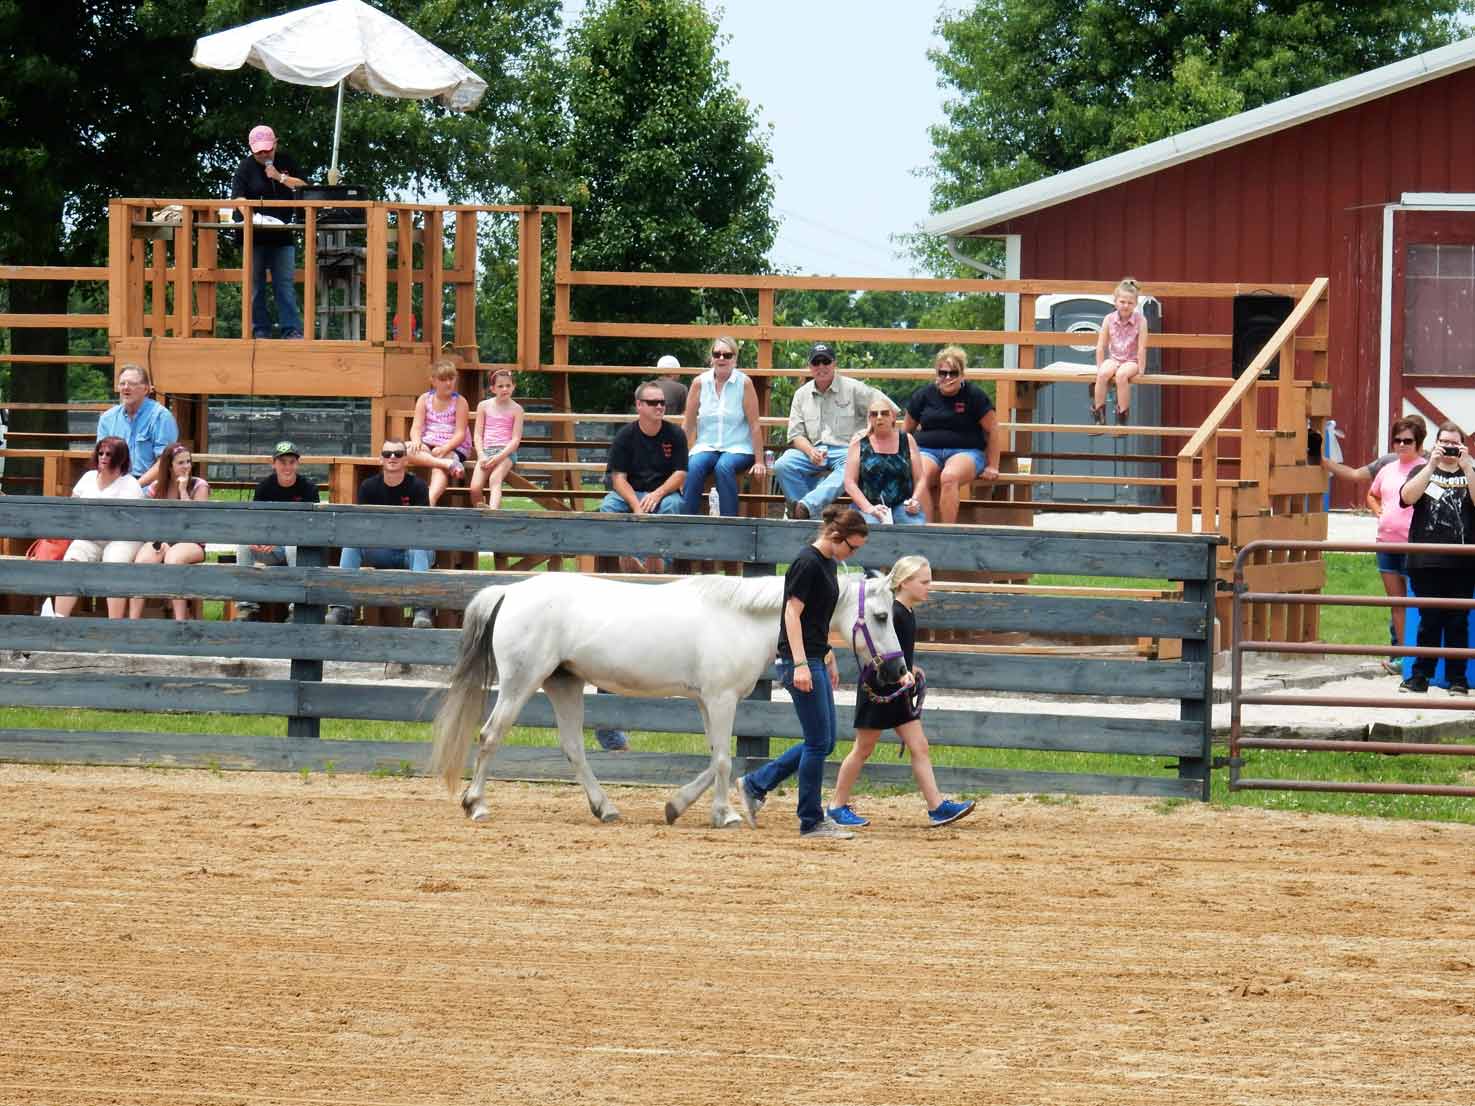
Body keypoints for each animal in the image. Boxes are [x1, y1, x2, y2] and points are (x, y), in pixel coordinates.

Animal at [429, 571, 908, 827]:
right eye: (881, 616)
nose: (896, 672)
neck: (740, 619)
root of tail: (510, 591)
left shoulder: (706, 702)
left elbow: (716, 757)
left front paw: (677, 806)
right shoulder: (721, 699)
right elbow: (723, 760)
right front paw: (725, 815)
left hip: (563, 684)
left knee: (573, 748)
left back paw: (606, 809)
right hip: (521, 682)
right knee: (490, 736)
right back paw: (476, 805)